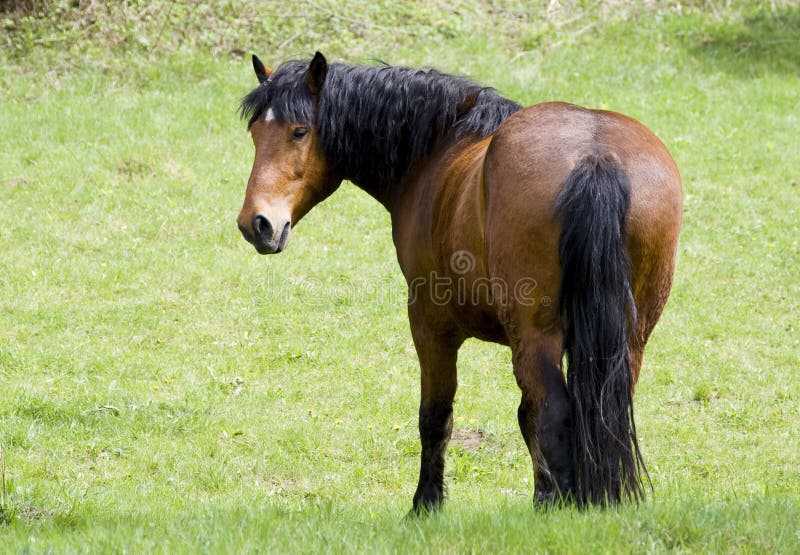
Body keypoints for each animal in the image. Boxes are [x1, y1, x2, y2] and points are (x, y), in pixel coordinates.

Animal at [236, 52, 682, 511]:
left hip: (536, 333)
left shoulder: (430, 324)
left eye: (299, 131)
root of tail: (596, 156)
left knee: (555, 411)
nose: (257, 224)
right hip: (628, 337)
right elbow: (526, 417)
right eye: (255, 133)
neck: (440, 145)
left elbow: (436, 417)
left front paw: (425, 504)